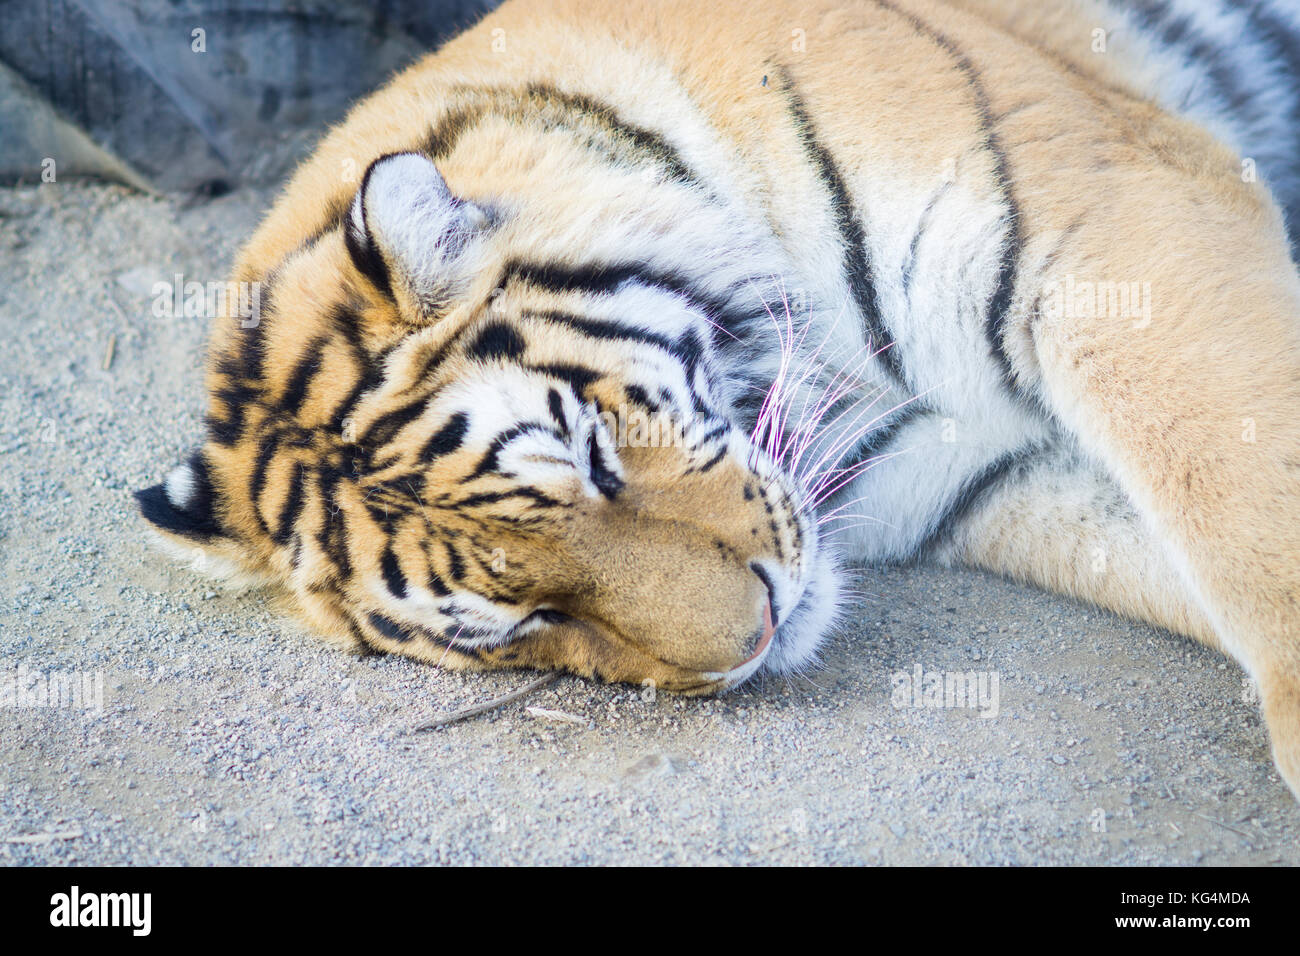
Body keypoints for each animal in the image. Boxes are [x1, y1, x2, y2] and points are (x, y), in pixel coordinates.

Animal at [135, 0, 1300, 800]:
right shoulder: (983, 471)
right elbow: (1207, 554)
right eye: (530, 619)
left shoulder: (1115, 224)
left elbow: (1244, 513)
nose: (756, 636)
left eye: (595, 455)